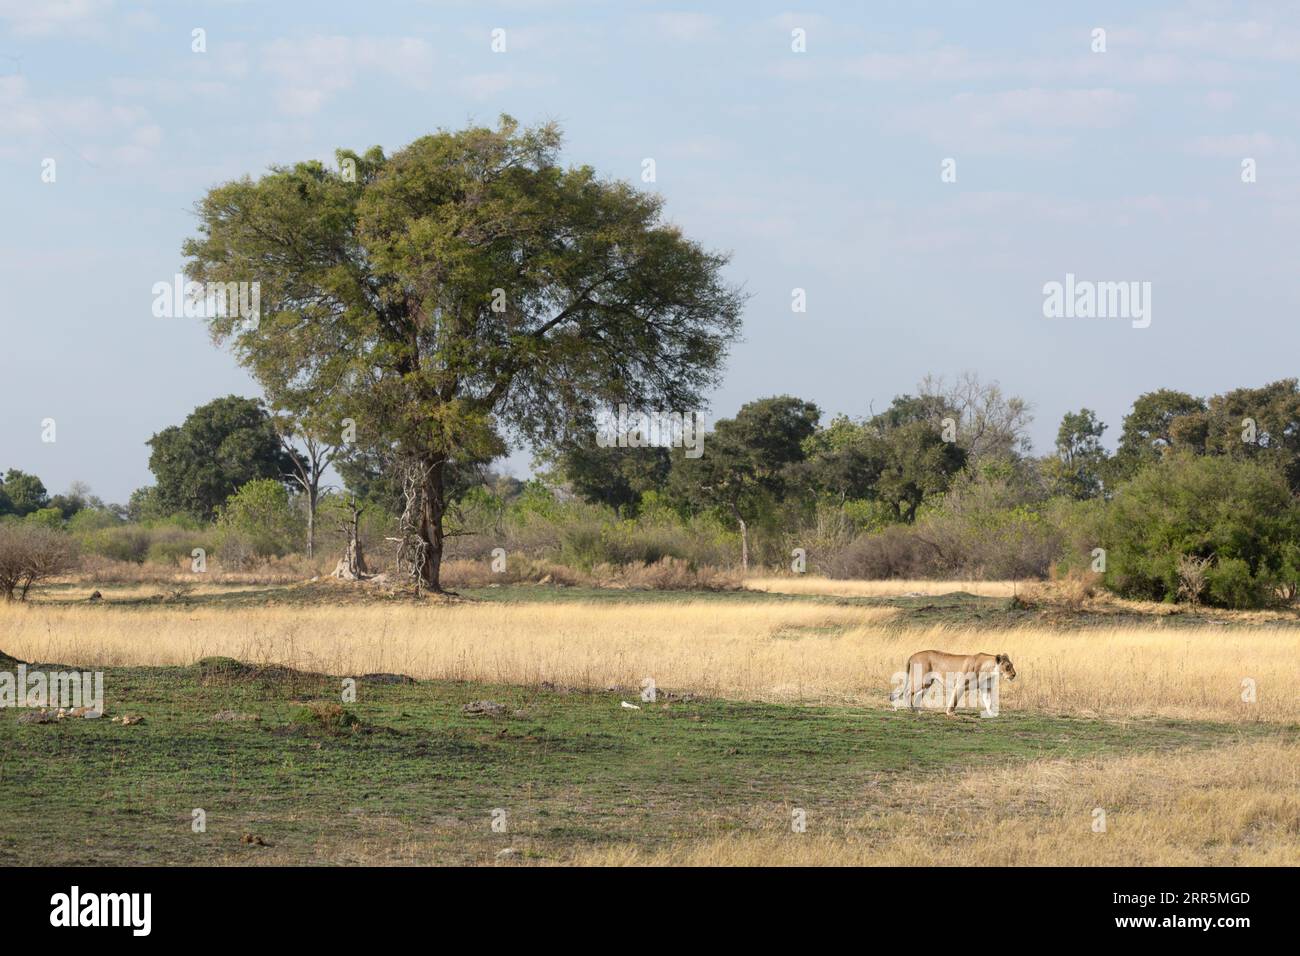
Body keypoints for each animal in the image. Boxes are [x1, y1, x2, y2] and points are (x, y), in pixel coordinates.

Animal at [888, 649, 1017, 715]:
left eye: (1011, 665)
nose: (1014, 675)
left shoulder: (986, 688)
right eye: (1008, 666)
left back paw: (916, 709)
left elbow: (988, 701)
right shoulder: (960, 685)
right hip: (921, 680)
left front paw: (991, 713)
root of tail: (912, 655)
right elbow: (954, 700)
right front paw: (950, 712)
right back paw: (910, 708)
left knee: (914, 694)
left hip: (927, 682)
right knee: (907, 691)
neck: (989, 670)